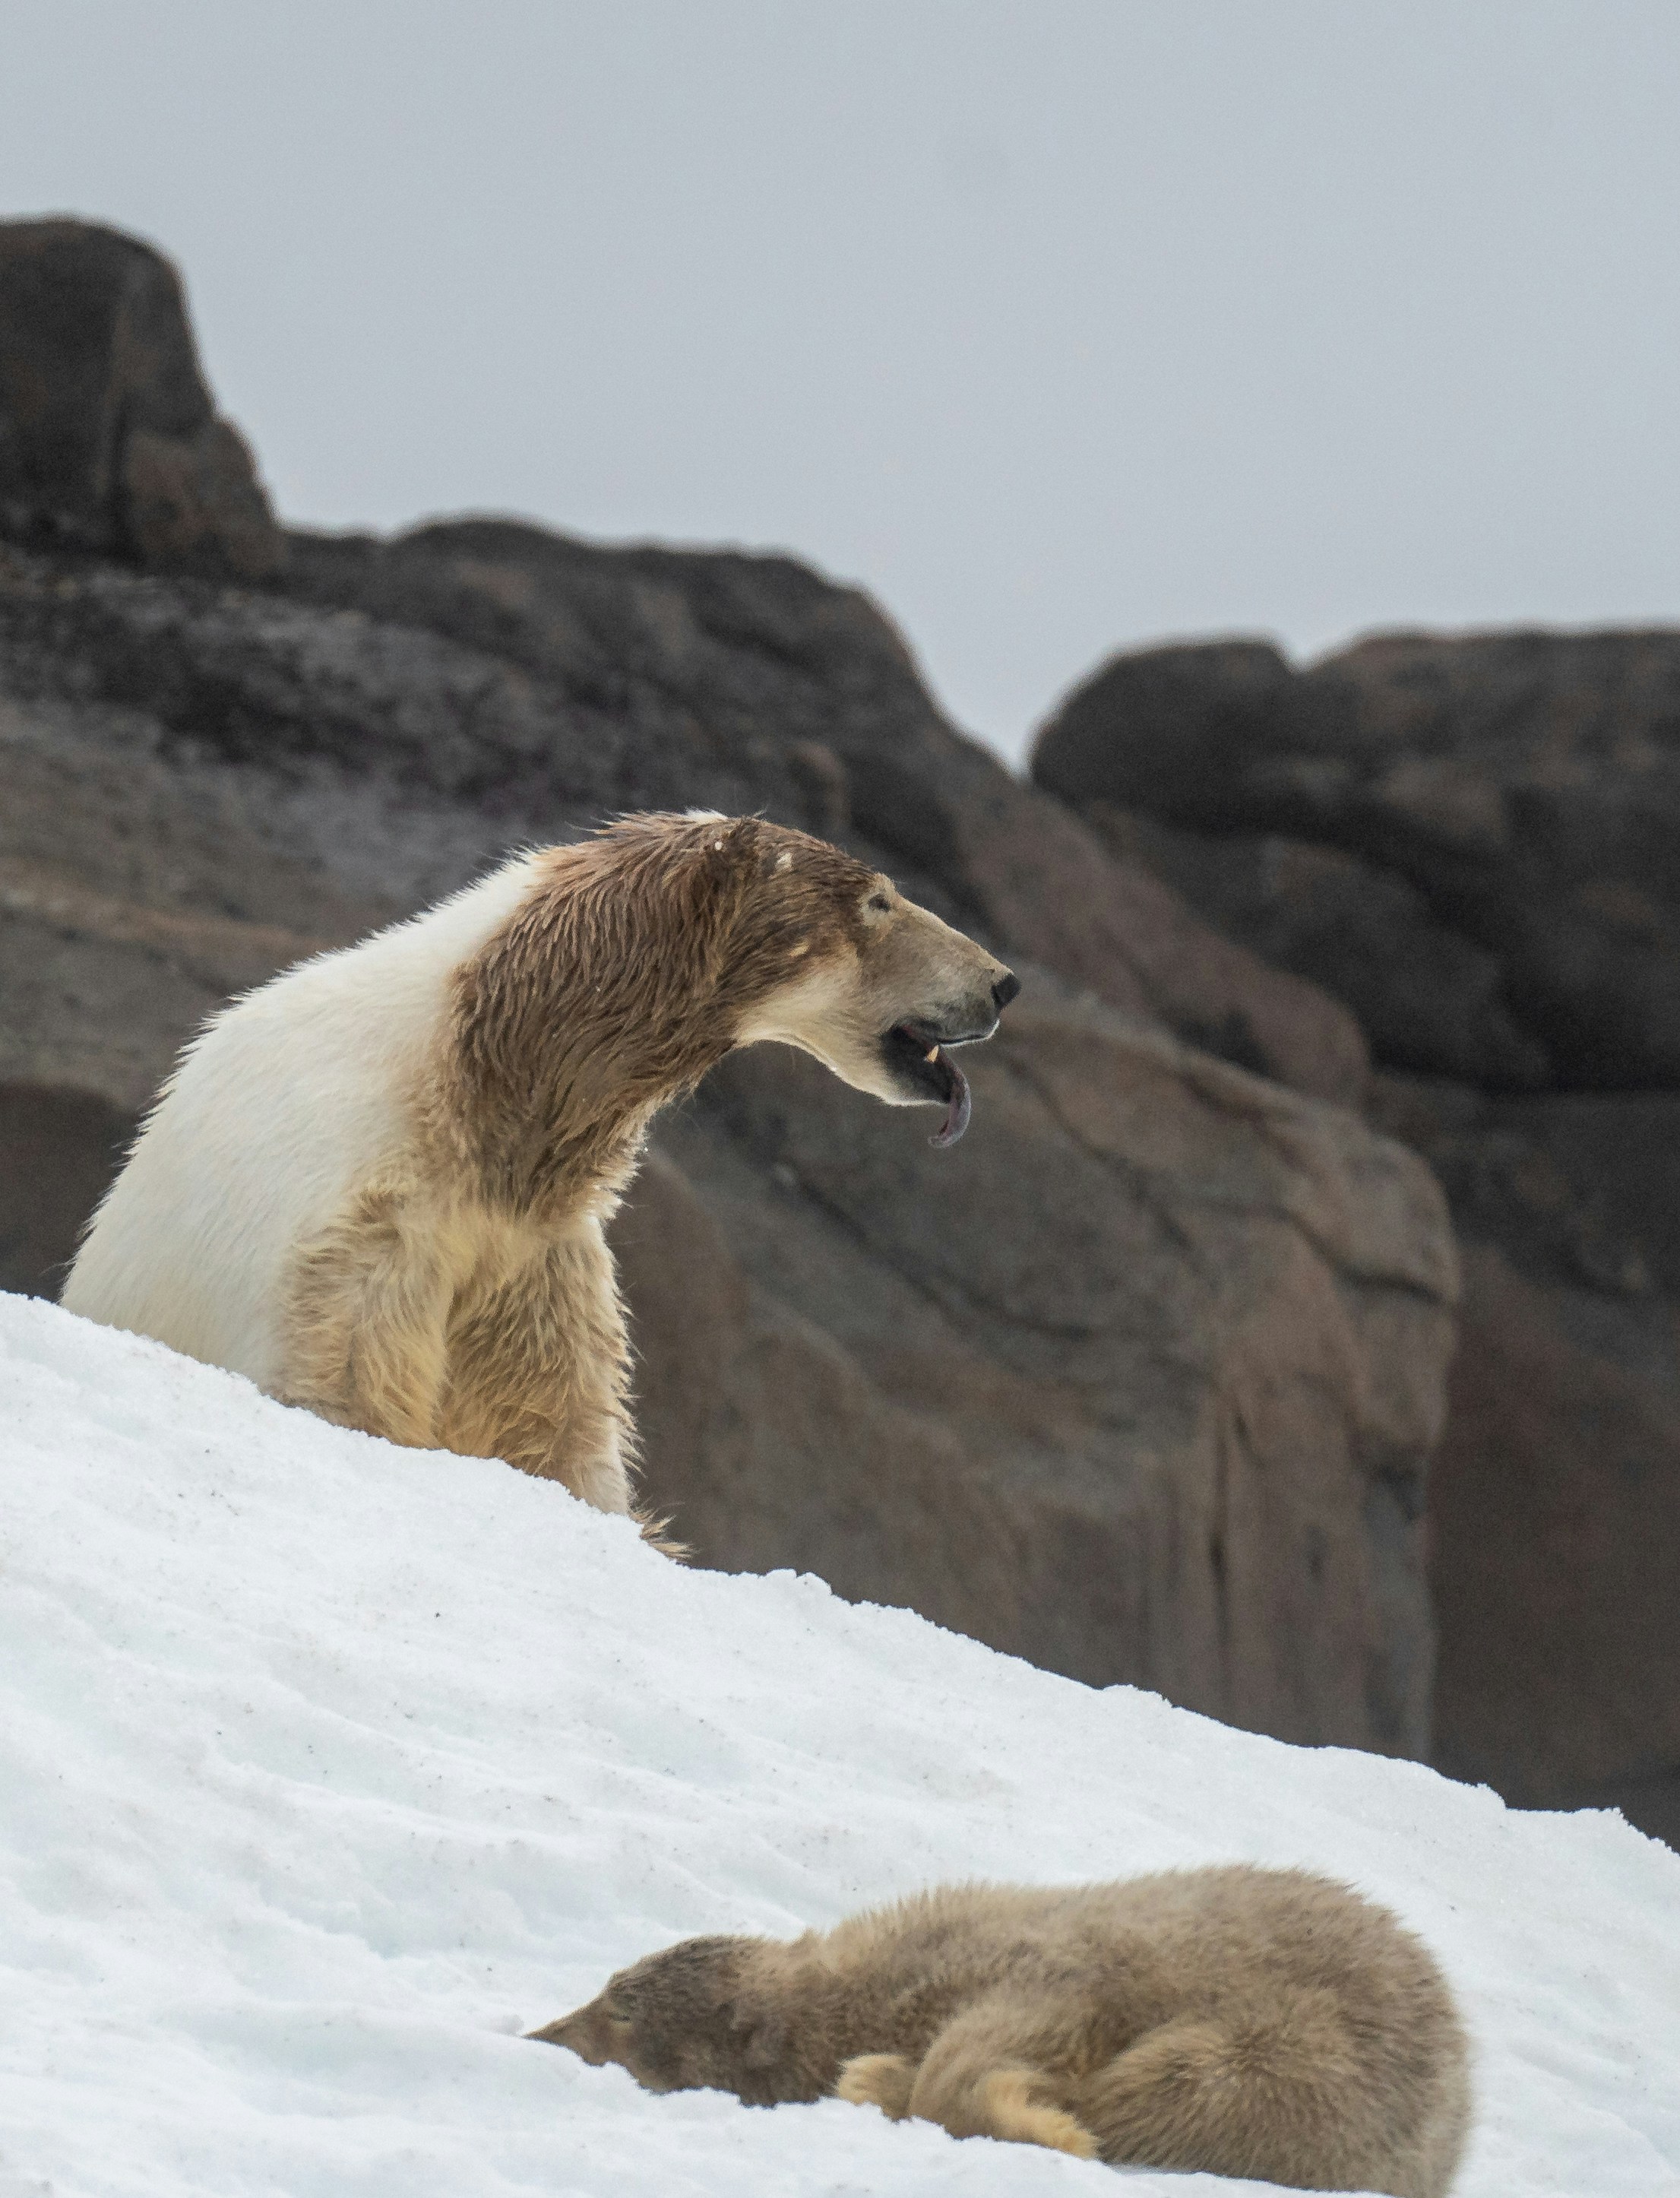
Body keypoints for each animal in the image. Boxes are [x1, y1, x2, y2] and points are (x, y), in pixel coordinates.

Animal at [62, 813, 1018, 1526]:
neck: (474, 1084)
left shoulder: (529, 1258)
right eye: (878, 900)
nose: (1002, 983)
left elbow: (546, 1429)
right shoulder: (354, 1240)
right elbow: (355, 1392)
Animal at [530, 1866, 1471, 2197]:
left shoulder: (1027, 1955)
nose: (542, 2032)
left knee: (1181, 2083)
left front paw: (1040, 2121)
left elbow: (1021, 2024)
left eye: (617, 2003)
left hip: (1312, 2047)